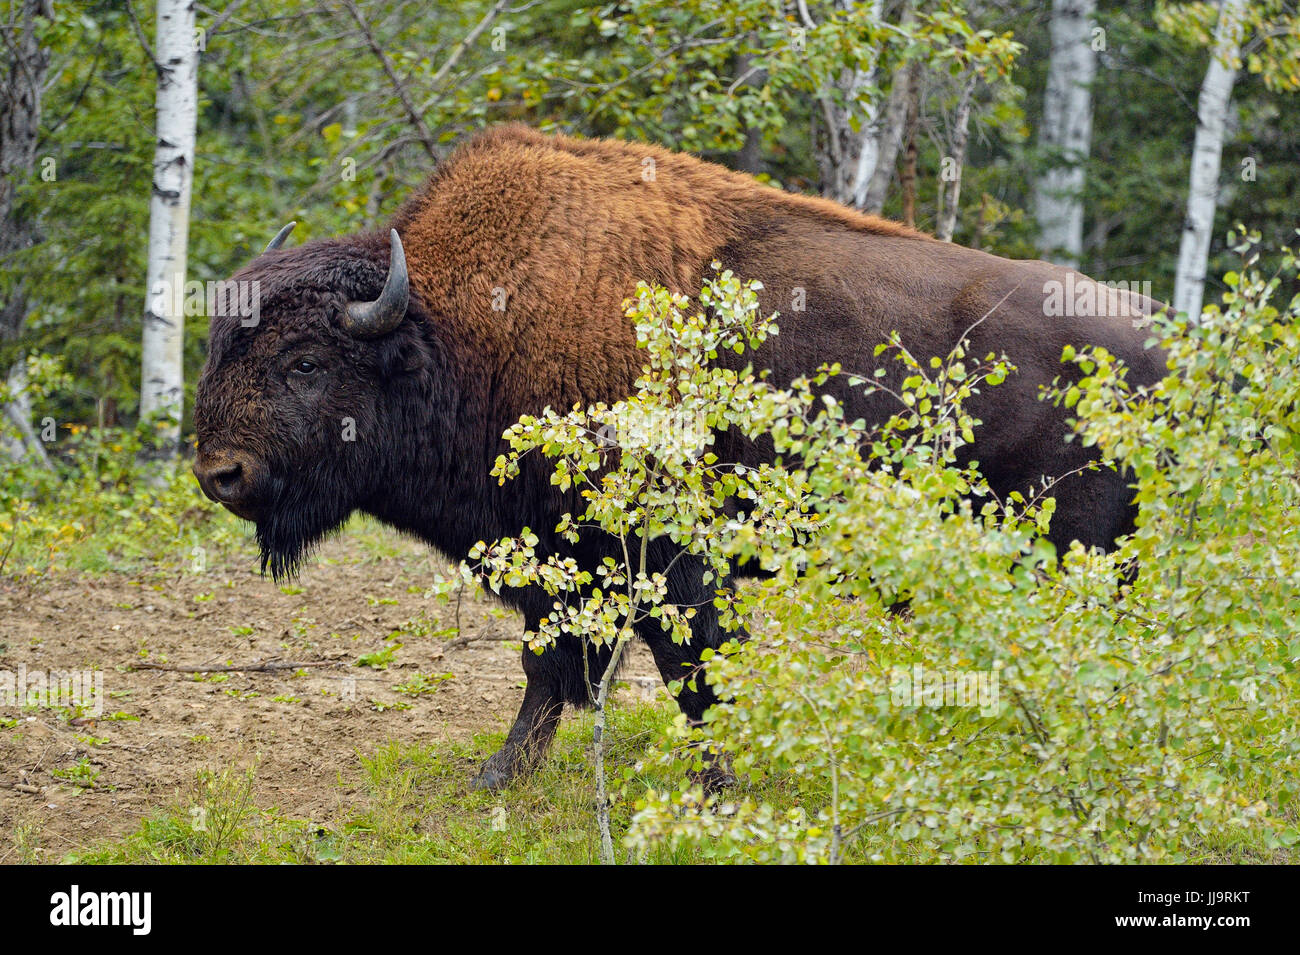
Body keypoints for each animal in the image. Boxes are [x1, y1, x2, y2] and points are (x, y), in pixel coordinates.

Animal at [193, 124, 1166, 790]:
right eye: (216, 350)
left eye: (305, 361)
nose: (219, 474)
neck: (455, 328)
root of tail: (1160, 340)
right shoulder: (562, 558)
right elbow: (554, 666)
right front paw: (504, 775)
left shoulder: (663, 552)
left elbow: (686, 664)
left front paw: (716, 787)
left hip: (1077, 552)